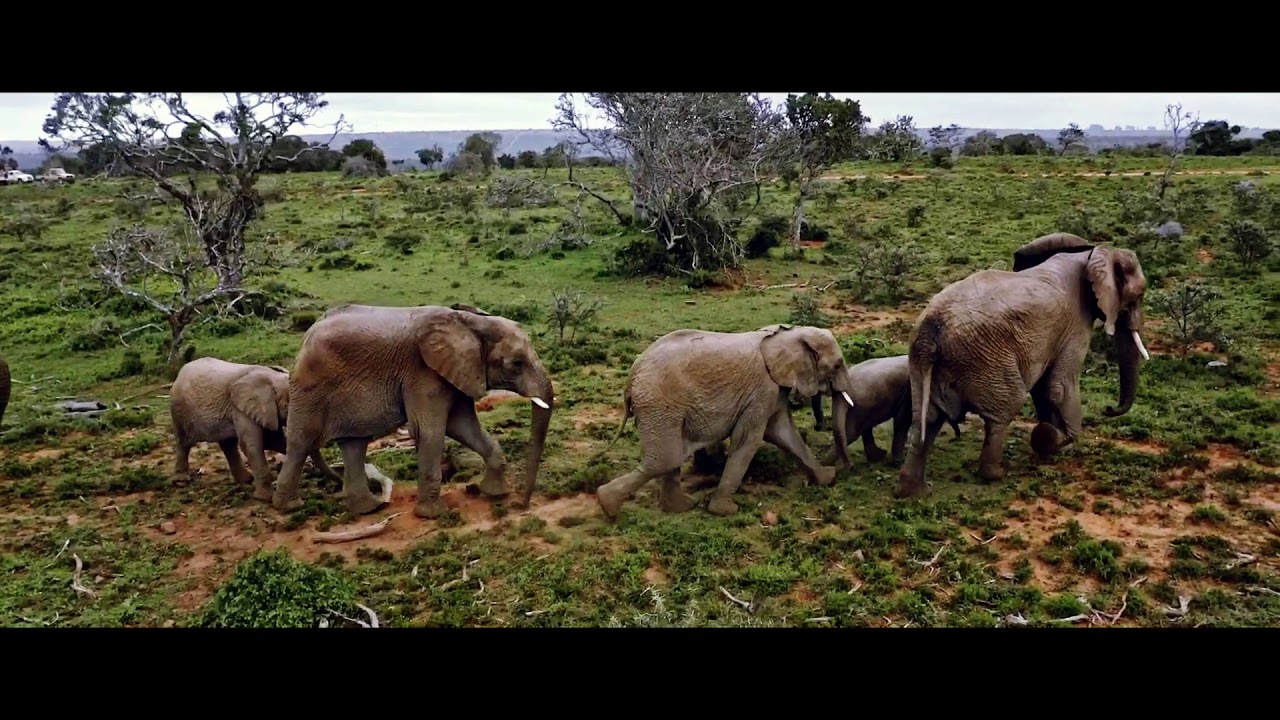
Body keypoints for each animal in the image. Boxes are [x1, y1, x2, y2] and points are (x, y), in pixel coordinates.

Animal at [169, 357, 341, 497]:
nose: (339, 483)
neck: (272, 379)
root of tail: (179, 374)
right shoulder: (240, 407)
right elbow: (253, 445)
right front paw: (264, 498)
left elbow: (275, 442)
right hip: (179, 409)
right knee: (183, 443)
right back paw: (181, 481)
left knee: (228, 444)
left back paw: (245, 480)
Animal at [270, 303, 555, 519]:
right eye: (517, 363)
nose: (520, 504)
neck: (471, 322)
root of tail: (307, 335)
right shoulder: (423, 373)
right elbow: (430, 431)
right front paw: (434, 515)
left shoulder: (458, 373)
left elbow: (463, 426)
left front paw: (494, 493)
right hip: (309, 388)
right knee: (301, 442)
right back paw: (289, 507)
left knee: (354, 444)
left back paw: (369, 509)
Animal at [595, 323, 856, 519]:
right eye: (837, 365)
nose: (843, 470)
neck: (789, 335)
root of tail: (631, 377)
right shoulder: (761, 391)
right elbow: (748, 440)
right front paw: (725, 510)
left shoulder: (774, 391)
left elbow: (784, 433)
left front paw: (827, 478)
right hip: (659, 403)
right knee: (664, 459)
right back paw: (607, 505)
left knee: (671, 456)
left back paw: (680, 506)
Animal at [817, 354, 964, 467]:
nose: (957, 437)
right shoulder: (909, 392)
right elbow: (903, 419)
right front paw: (899, 463)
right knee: (852, 433)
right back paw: (826, 466)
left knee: (862, 428)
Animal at [894, 232, 1150, 499]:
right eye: (1138, 297)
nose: (1108, 409)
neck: (1089, 253)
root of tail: (930, 330)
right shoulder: (1076, 325)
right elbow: (1059, 386)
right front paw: (1053, 439)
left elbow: (1043, 388)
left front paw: (1049, 441)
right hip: (986, 359)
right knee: (1004, 410)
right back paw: (996, 474)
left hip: (922, 362)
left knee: (927, 419)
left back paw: (914, 491)